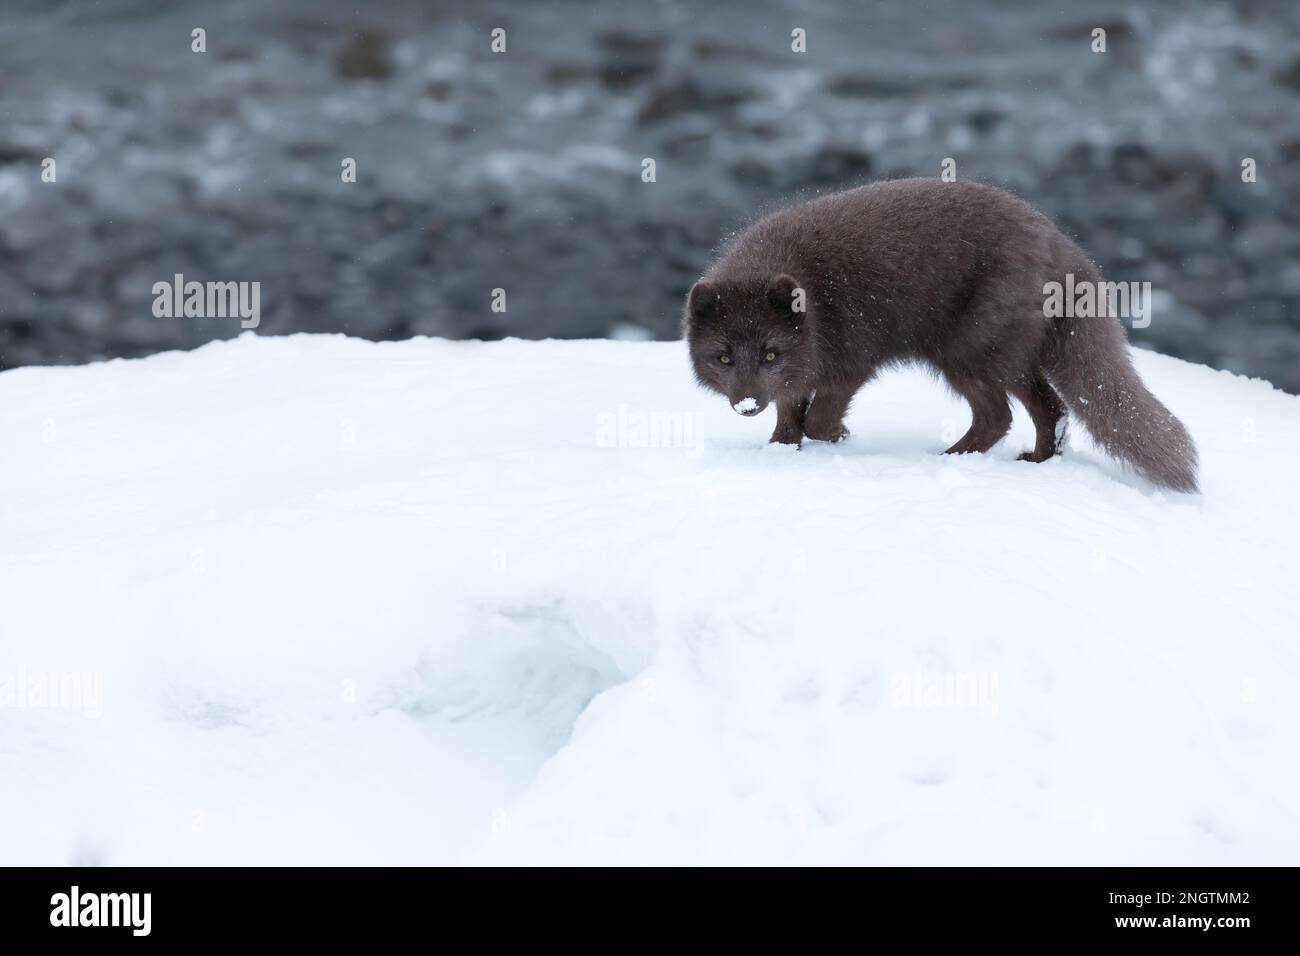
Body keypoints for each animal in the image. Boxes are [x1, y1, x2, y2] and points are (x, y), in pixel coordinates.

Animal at [684, 178, 1199, 492]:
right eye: (723, 357)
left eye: (769, 354)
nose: (746, 405)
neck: (813, 297)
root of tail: (1064, 246)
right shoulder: (802, 370)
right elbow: (791, 413)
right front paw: (779, 449)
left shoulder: (851, 359)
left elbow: (817, 418)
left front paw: (839, 437)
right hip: (998, 355)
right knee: (1046, 410)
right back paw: (1032, 460)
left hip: (967, 352)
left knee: (1004, 416)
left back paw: (952, 459)